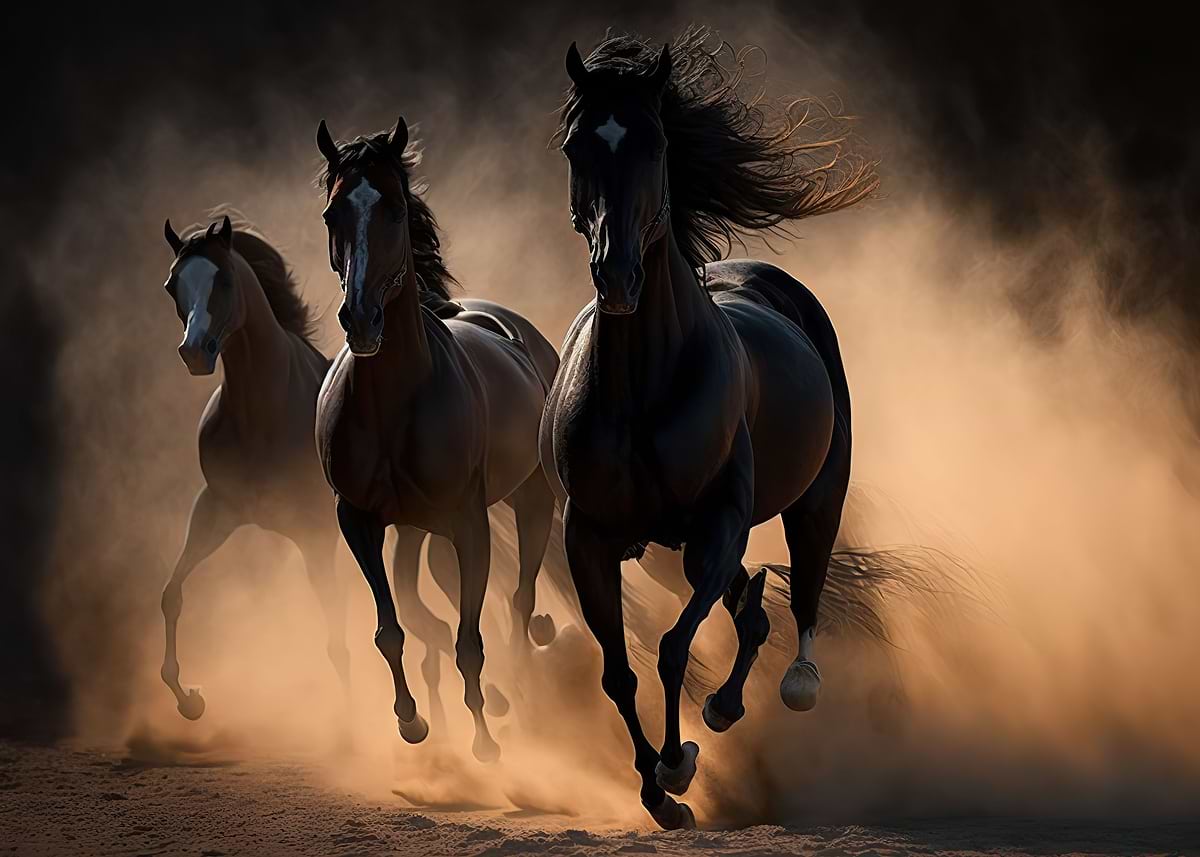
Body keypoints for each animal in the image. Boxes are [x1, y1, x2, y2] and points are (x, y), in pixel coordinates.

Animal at [157, 214, 347, 721]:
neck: (263, 411)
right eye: (172, 285)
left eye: (224, 279)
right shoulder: (218, 511)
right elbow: (172, 595)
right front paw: (189, 698)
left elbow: (338, 638)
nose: (194, 352)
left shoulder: (317, 533)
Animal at [314, 116, 561, 762]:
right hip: (412, 533)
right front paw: (411, 721)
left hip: (532, 500)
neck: (394, 405)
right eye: (332, 213)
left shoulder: (468, 524)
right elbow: (390, 630)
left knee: (521, 601)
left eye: (396, 208)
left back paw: (523, 696)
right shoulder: (359, 521)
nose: (361, 320)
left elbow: (471, 640)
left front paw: (485, 739)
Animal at [540, 29, 880, 828]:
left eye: (655, 142)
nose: (618, 278)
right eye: (575, 145)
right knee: (747, 610)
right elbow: (619, 672)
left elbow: (670, 647)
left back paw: (787, 687)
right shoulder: (590, 538)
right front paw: (658, 794)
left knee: (801, 589)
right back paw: (724, 708)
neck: (643, 388)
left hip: (814, 498)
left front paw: (678, 760)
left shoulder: (719, 518)